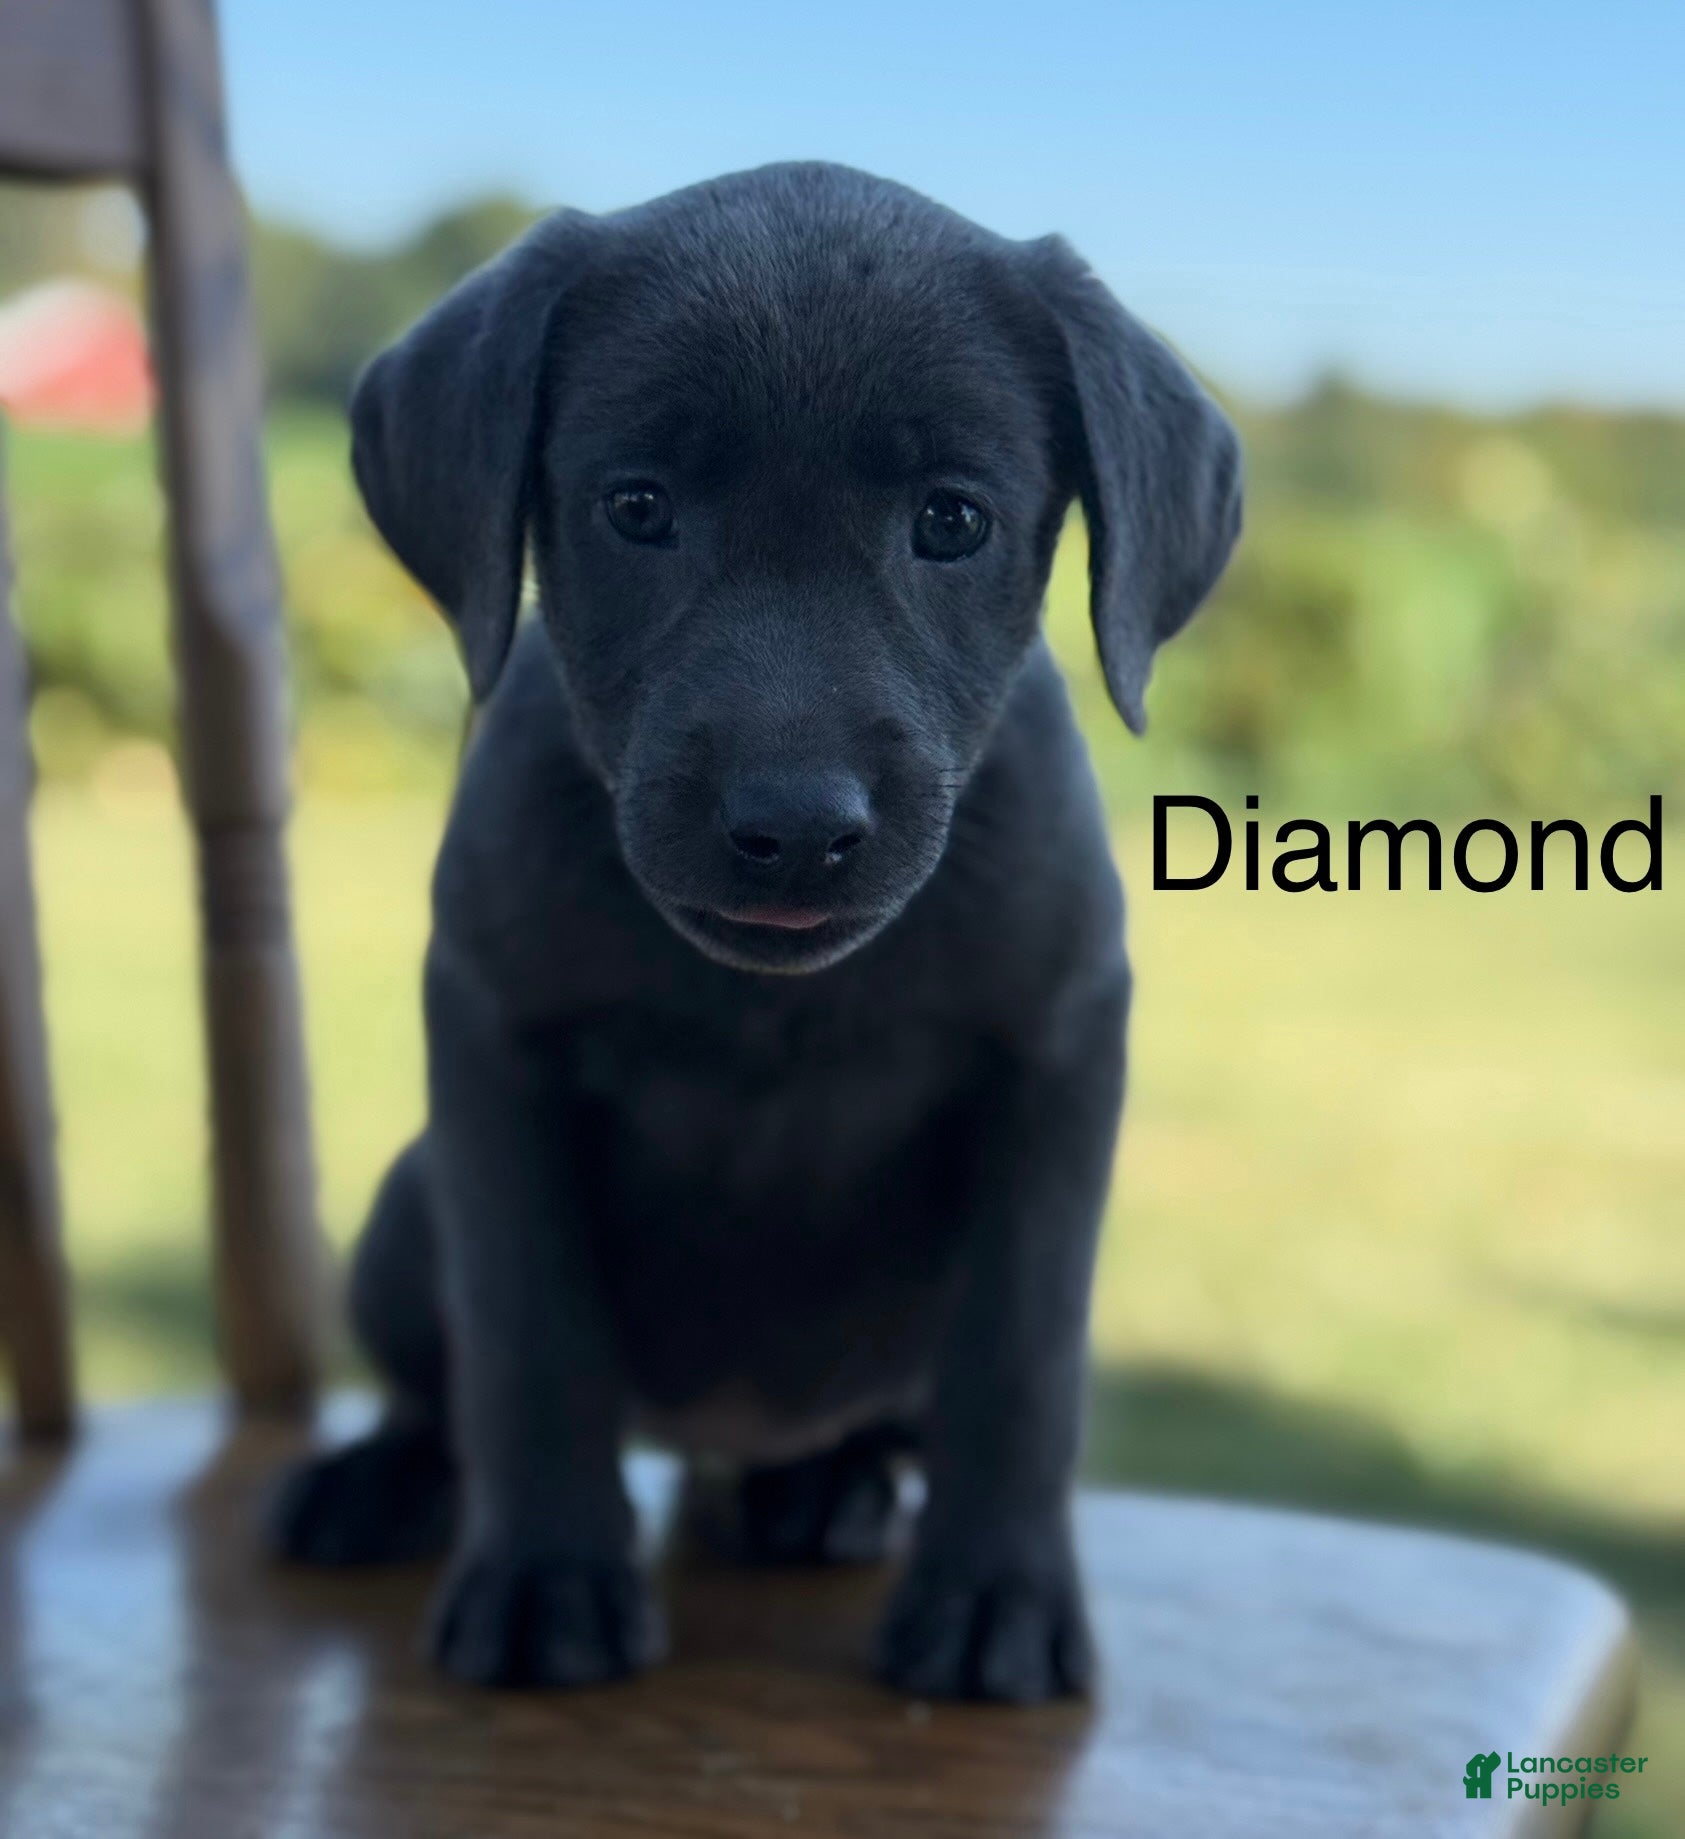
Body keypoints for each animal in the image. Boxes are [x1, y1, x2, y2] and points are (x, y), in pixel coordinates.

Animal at [269, 161, 1241, 1704]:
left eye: (951, 521)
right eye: (637, 505)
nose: (791, 824)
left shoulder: (1058, 1053)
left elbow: (1020, 1362)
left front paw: (996, 1594)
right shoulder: (493, 1044)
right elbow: (528, 1337)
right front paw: (545, 1574)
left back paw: (826, 1489)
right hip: (404, 1211)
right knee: (441, 1388)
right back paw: (379, 1481)